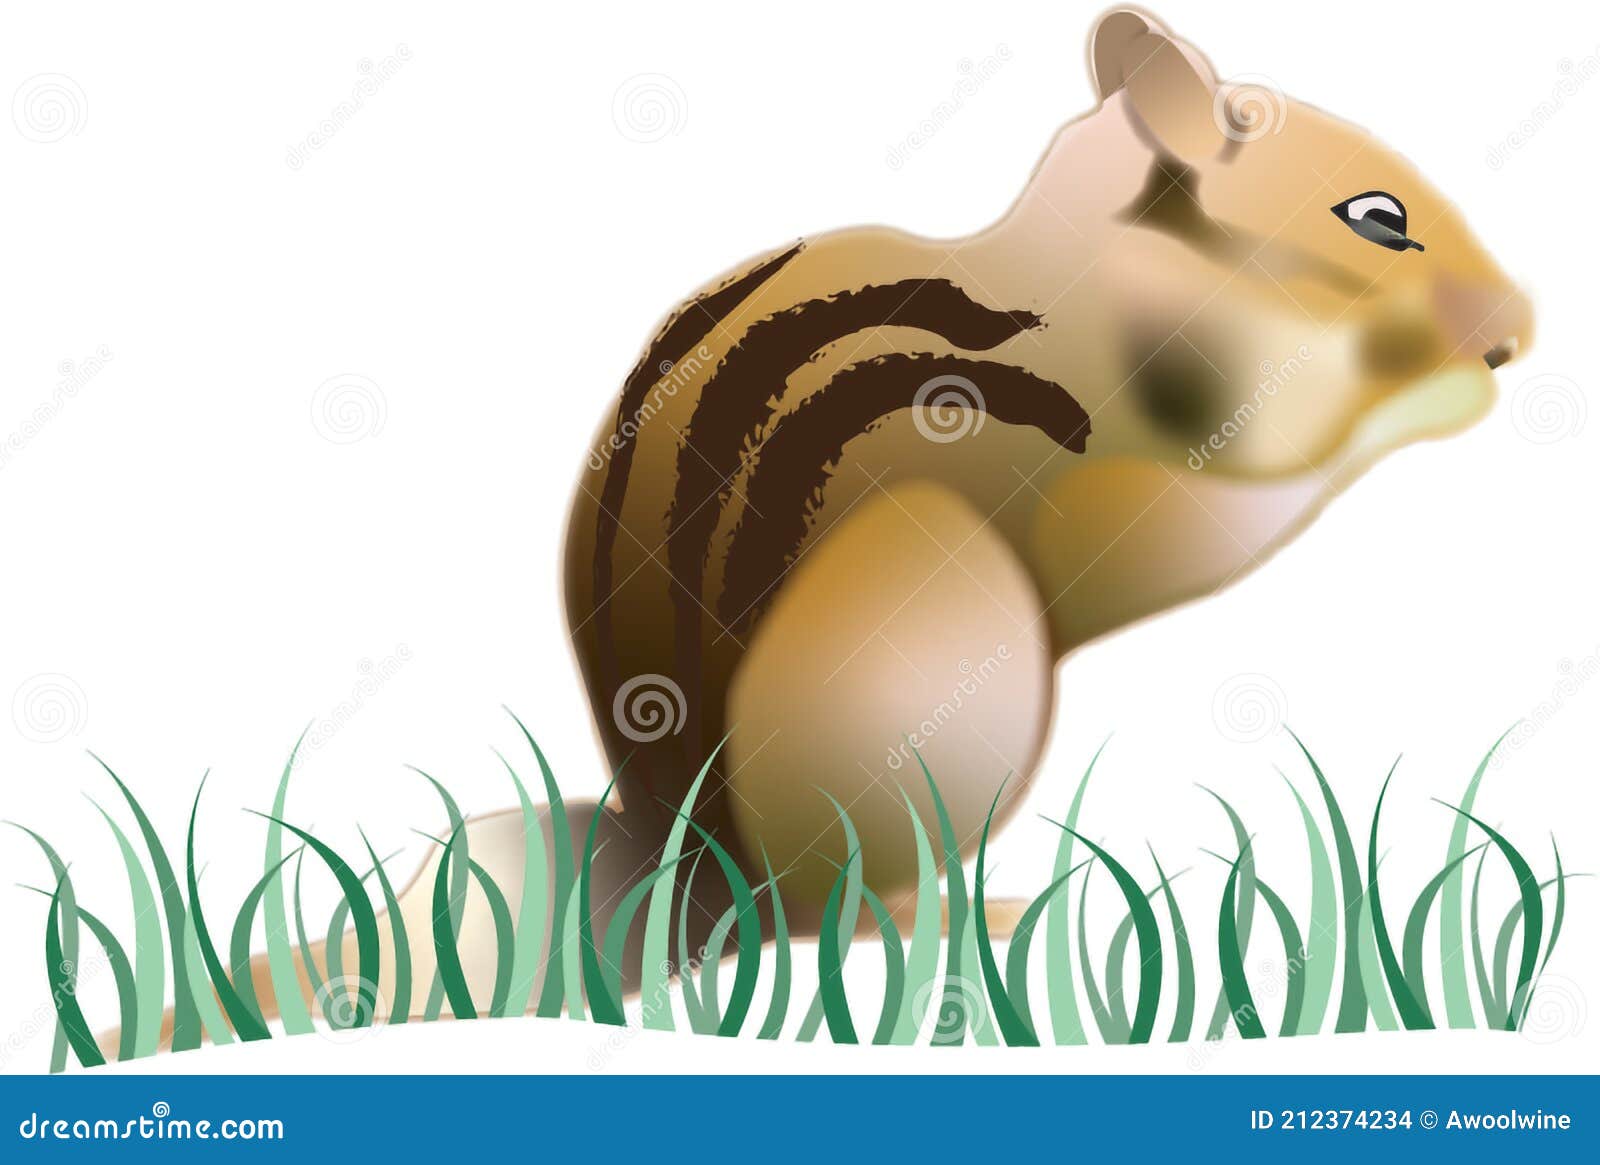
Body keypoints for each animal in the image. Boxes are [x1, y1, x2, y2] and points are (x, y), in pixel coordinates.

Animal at [154, 9, 1528, 1043]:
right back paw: (974, 918)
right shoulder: (1127, 459)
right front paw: (1445, 391)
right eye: (1375, 218)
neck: (1099, 276)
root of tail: (702, 875)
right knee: (839, 923)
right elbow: (1219, 517)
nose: (1519, 323)